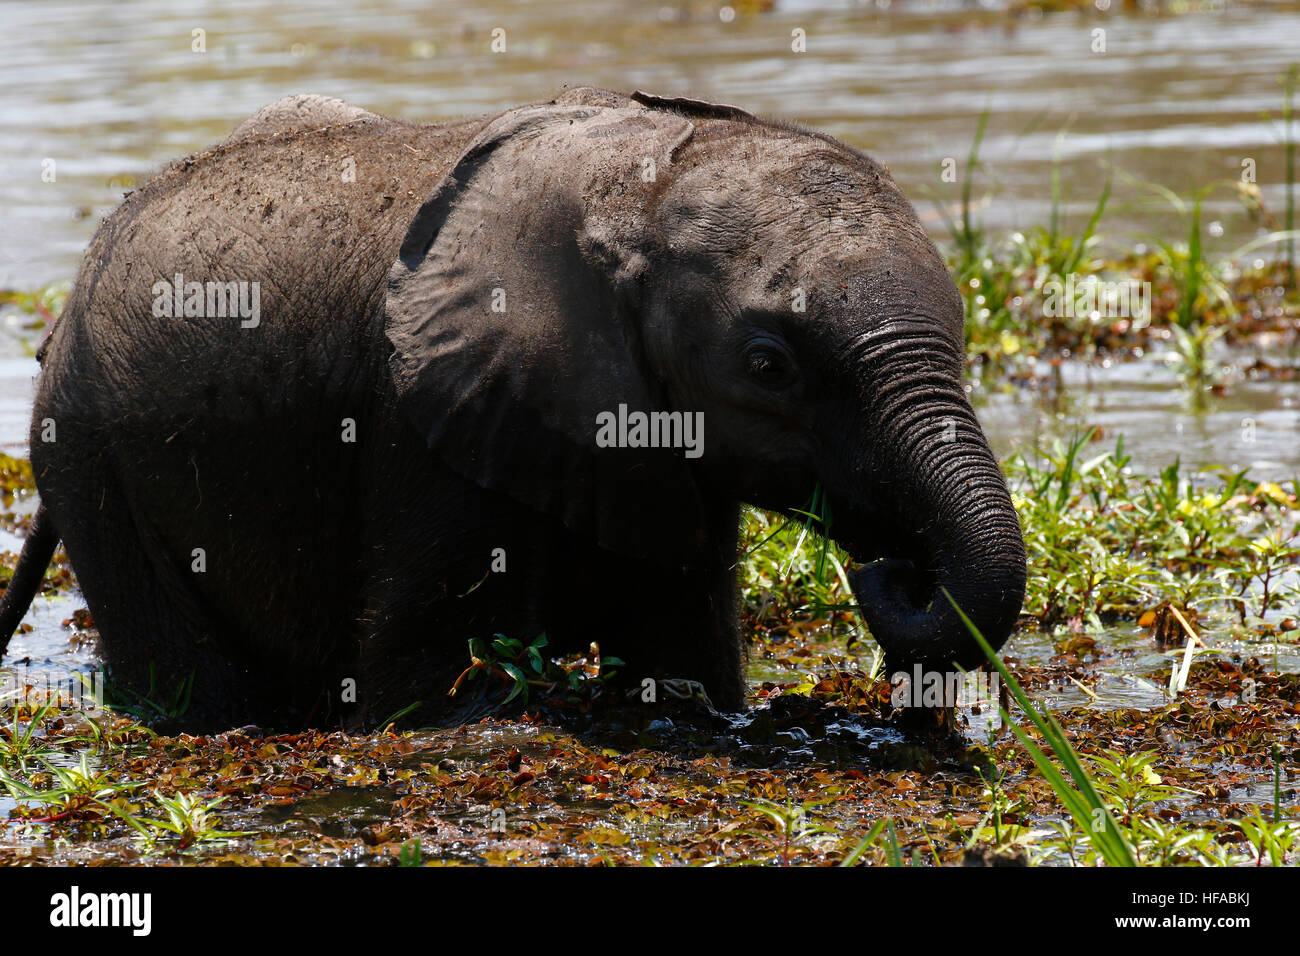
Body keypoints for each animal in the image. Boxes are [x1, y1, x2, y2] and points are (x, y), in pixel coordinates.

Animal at [0, 88, 1026, 731]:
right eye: (768, 366)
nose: (893, 568)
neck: (637, 180)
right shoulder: (423, 426)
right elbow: (416, 681)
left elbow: (689, 652)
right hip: (91, 457)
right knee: (196, 684)